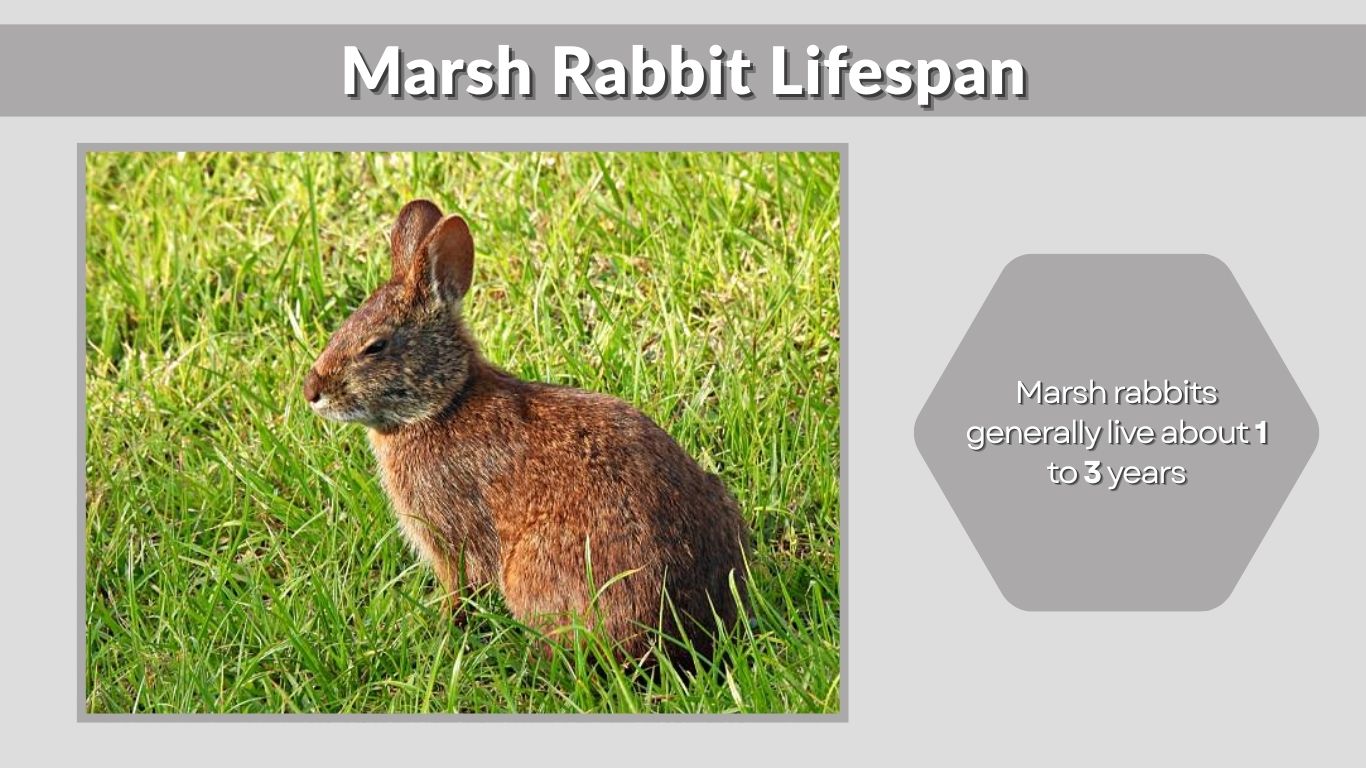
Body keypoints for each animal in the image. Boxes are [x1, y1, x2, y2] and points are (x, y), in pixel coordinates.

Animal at [302, 199, 750, 664]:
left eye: (375, 347)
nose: (310, 391)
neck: (443, 403)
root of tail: (685, 630)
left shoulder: (450, 537)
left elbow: (460, 586)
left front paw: (444, 625)